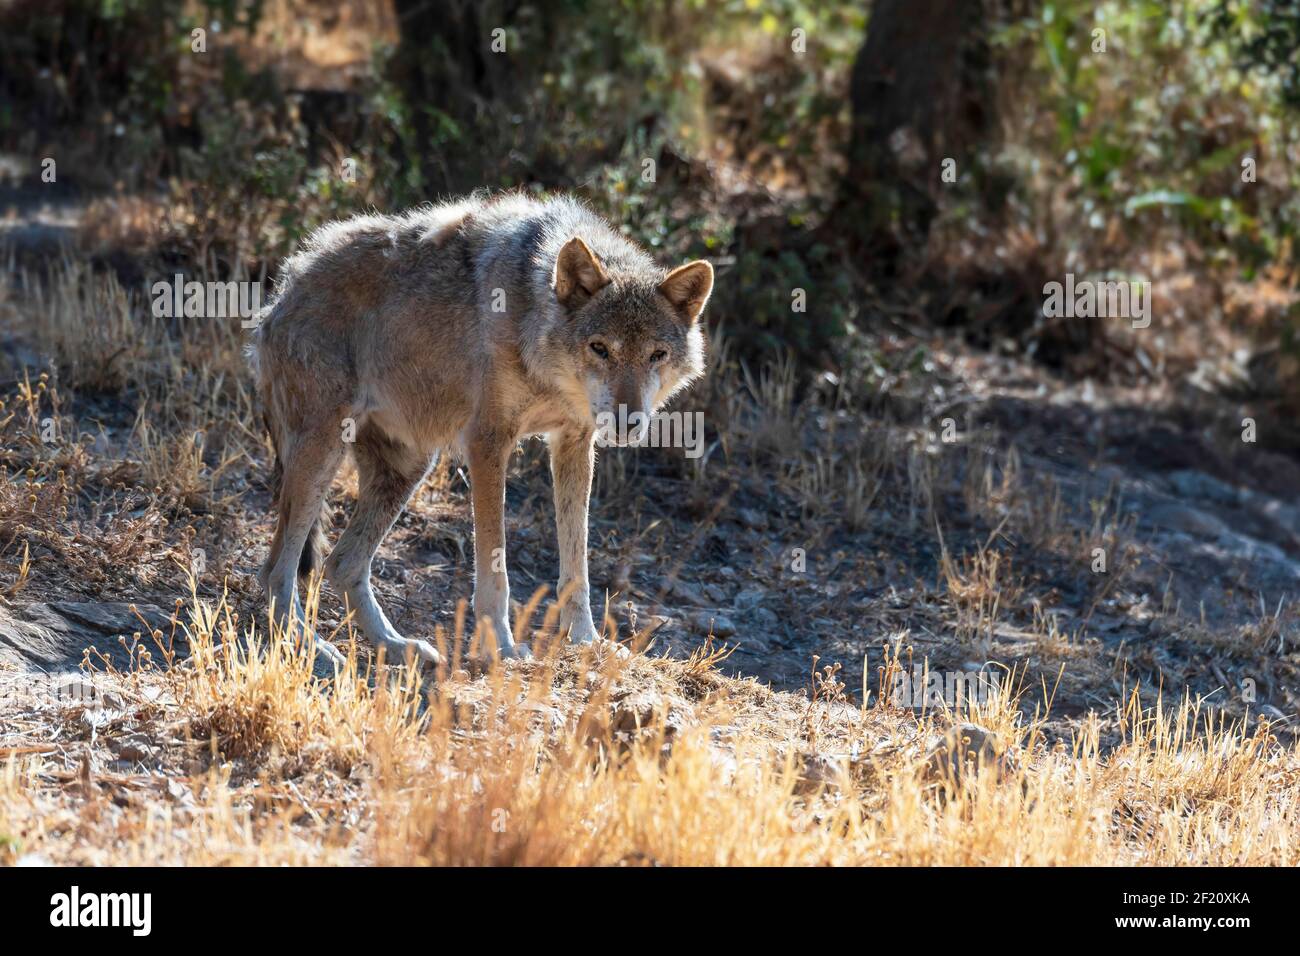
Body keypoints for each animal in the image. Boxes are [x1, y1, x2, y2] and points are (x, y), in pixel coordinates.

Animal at [252, 193, 713, 667]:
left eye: (657, 355)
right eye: (600, 348)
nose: (627, 421)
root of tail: (284, 284)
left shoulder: (574, 443)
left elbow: (577, 566)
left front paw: (587, 642)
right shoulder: (488, 442)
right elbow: (496, 567)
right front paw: (503, 648)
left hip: (409, 467)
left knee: (342, 564)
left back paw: (397, 645)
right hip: (323, 454)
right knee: (276, 570)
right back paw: (310, 648)